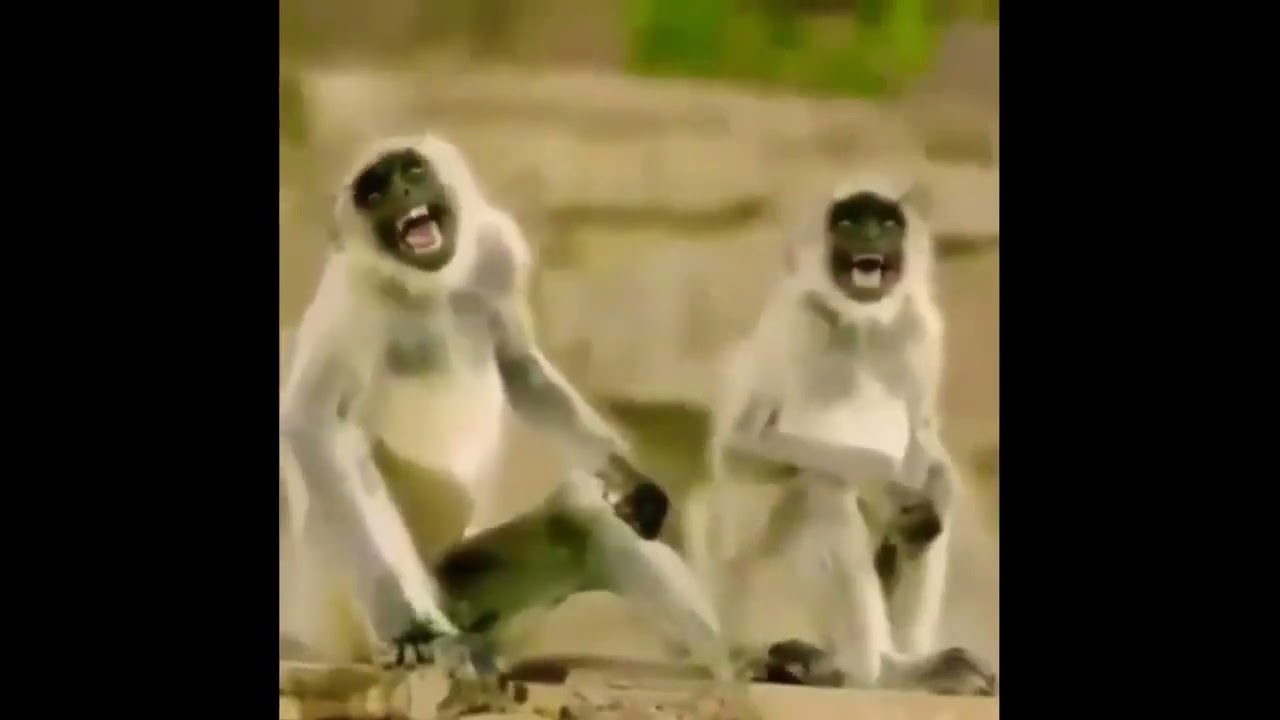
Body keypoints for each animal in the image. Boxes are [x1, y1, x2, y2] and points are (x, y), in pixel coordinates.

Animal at [278, 134, 678, 681]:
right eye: (374, 191)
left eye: (412, 170)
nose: (402, 191)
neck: (430, 288)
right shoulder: (351, 298)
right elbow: (309, 423)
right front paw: (404, 628)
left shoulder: (497, 253)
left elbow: (517, 364)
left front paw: (632, 483)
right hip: (336, 615)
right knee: (347, 447)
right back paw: (426, 636)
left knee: (583, 522)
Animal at [679, 168, 996, 696]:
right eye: (849, 221)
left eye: (885, 223)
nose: (867, 236)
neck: (863, 326)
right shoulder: (798, 320)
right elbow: (741, 448)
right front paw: (887, 486)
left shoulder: (922, 329)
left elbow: (926, 441)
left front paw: (923, 486)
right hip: (742, 584)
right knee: (821, 482)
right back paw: (870, 672)